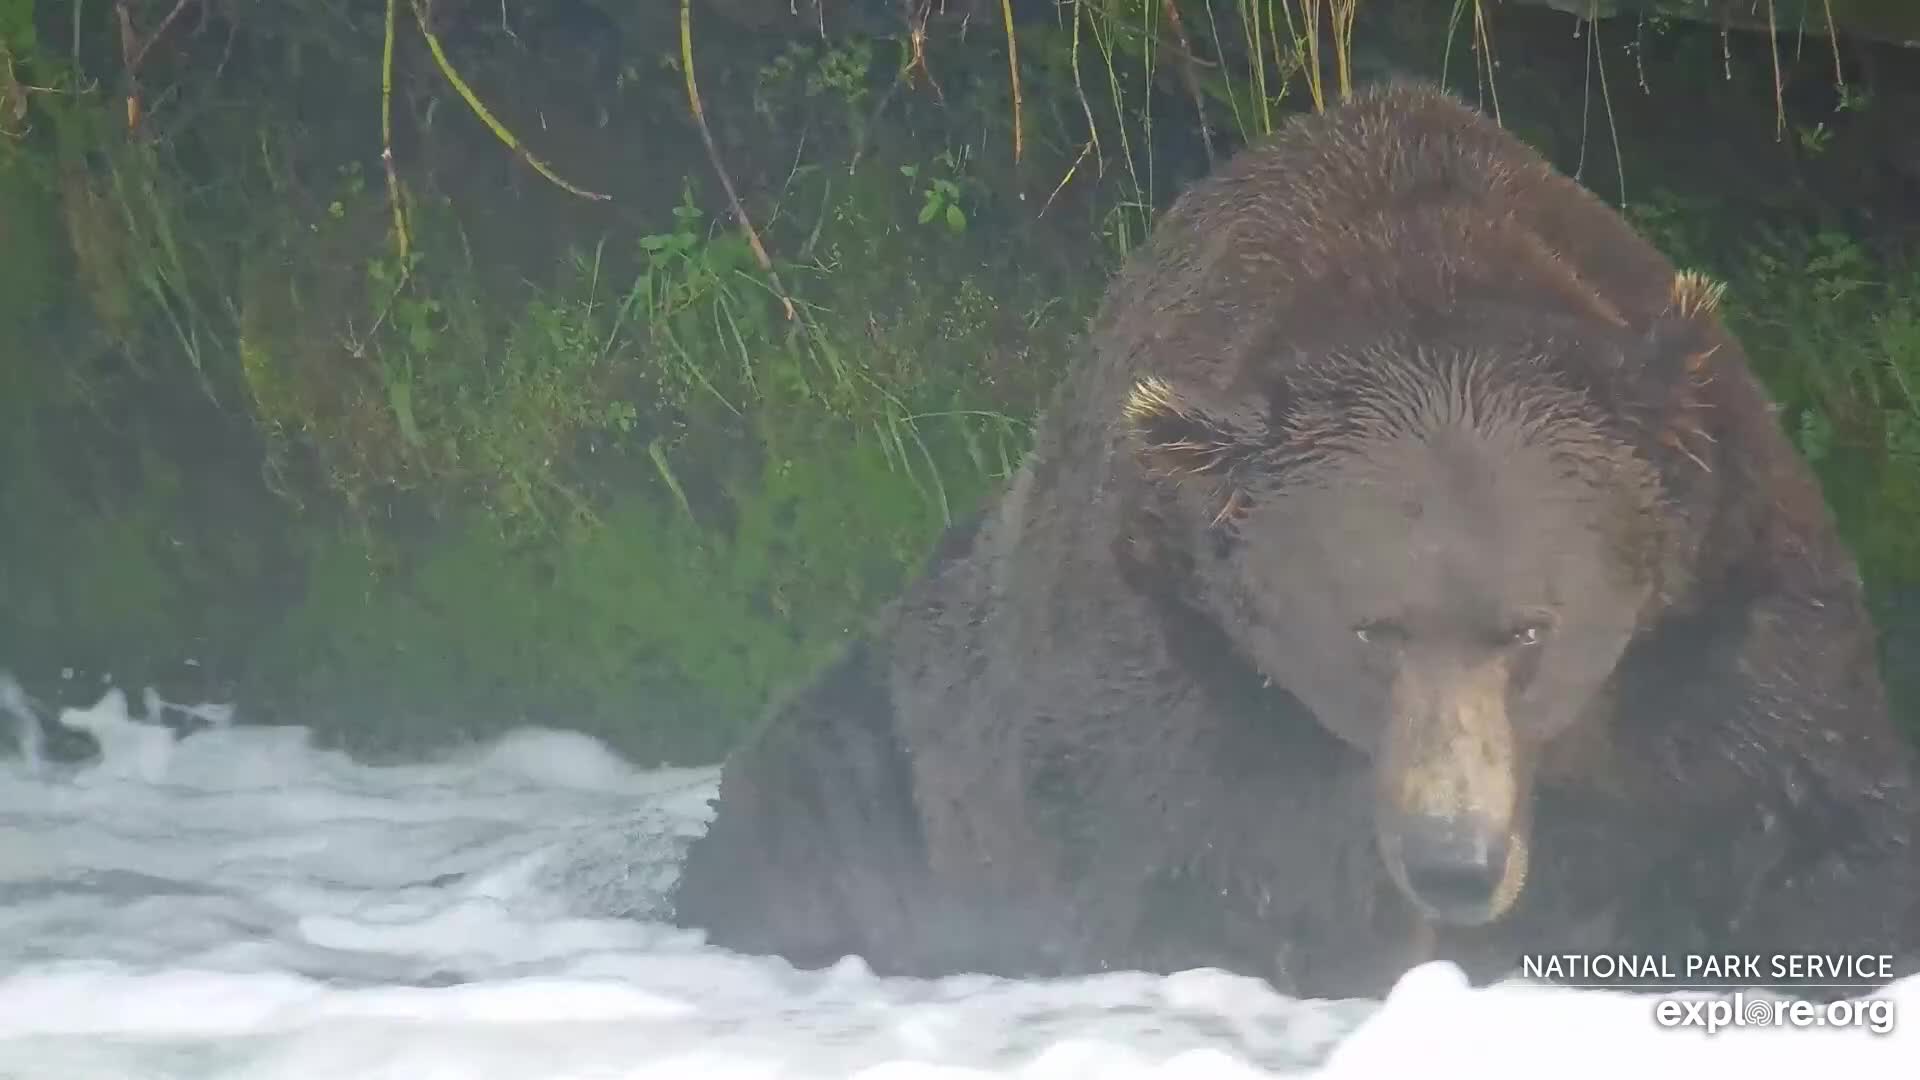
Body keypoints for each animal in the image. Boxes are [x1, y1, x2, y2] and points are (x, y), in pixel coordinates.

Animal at [669, 81, 1920, 1000]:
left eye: (1530, 629)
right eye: (1371, 630)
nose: (1454, 859)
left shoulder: (1723, 607)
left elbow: (1817, 821)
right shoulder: (1171, 662)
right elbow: (1205, 883)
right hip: (883, 739)